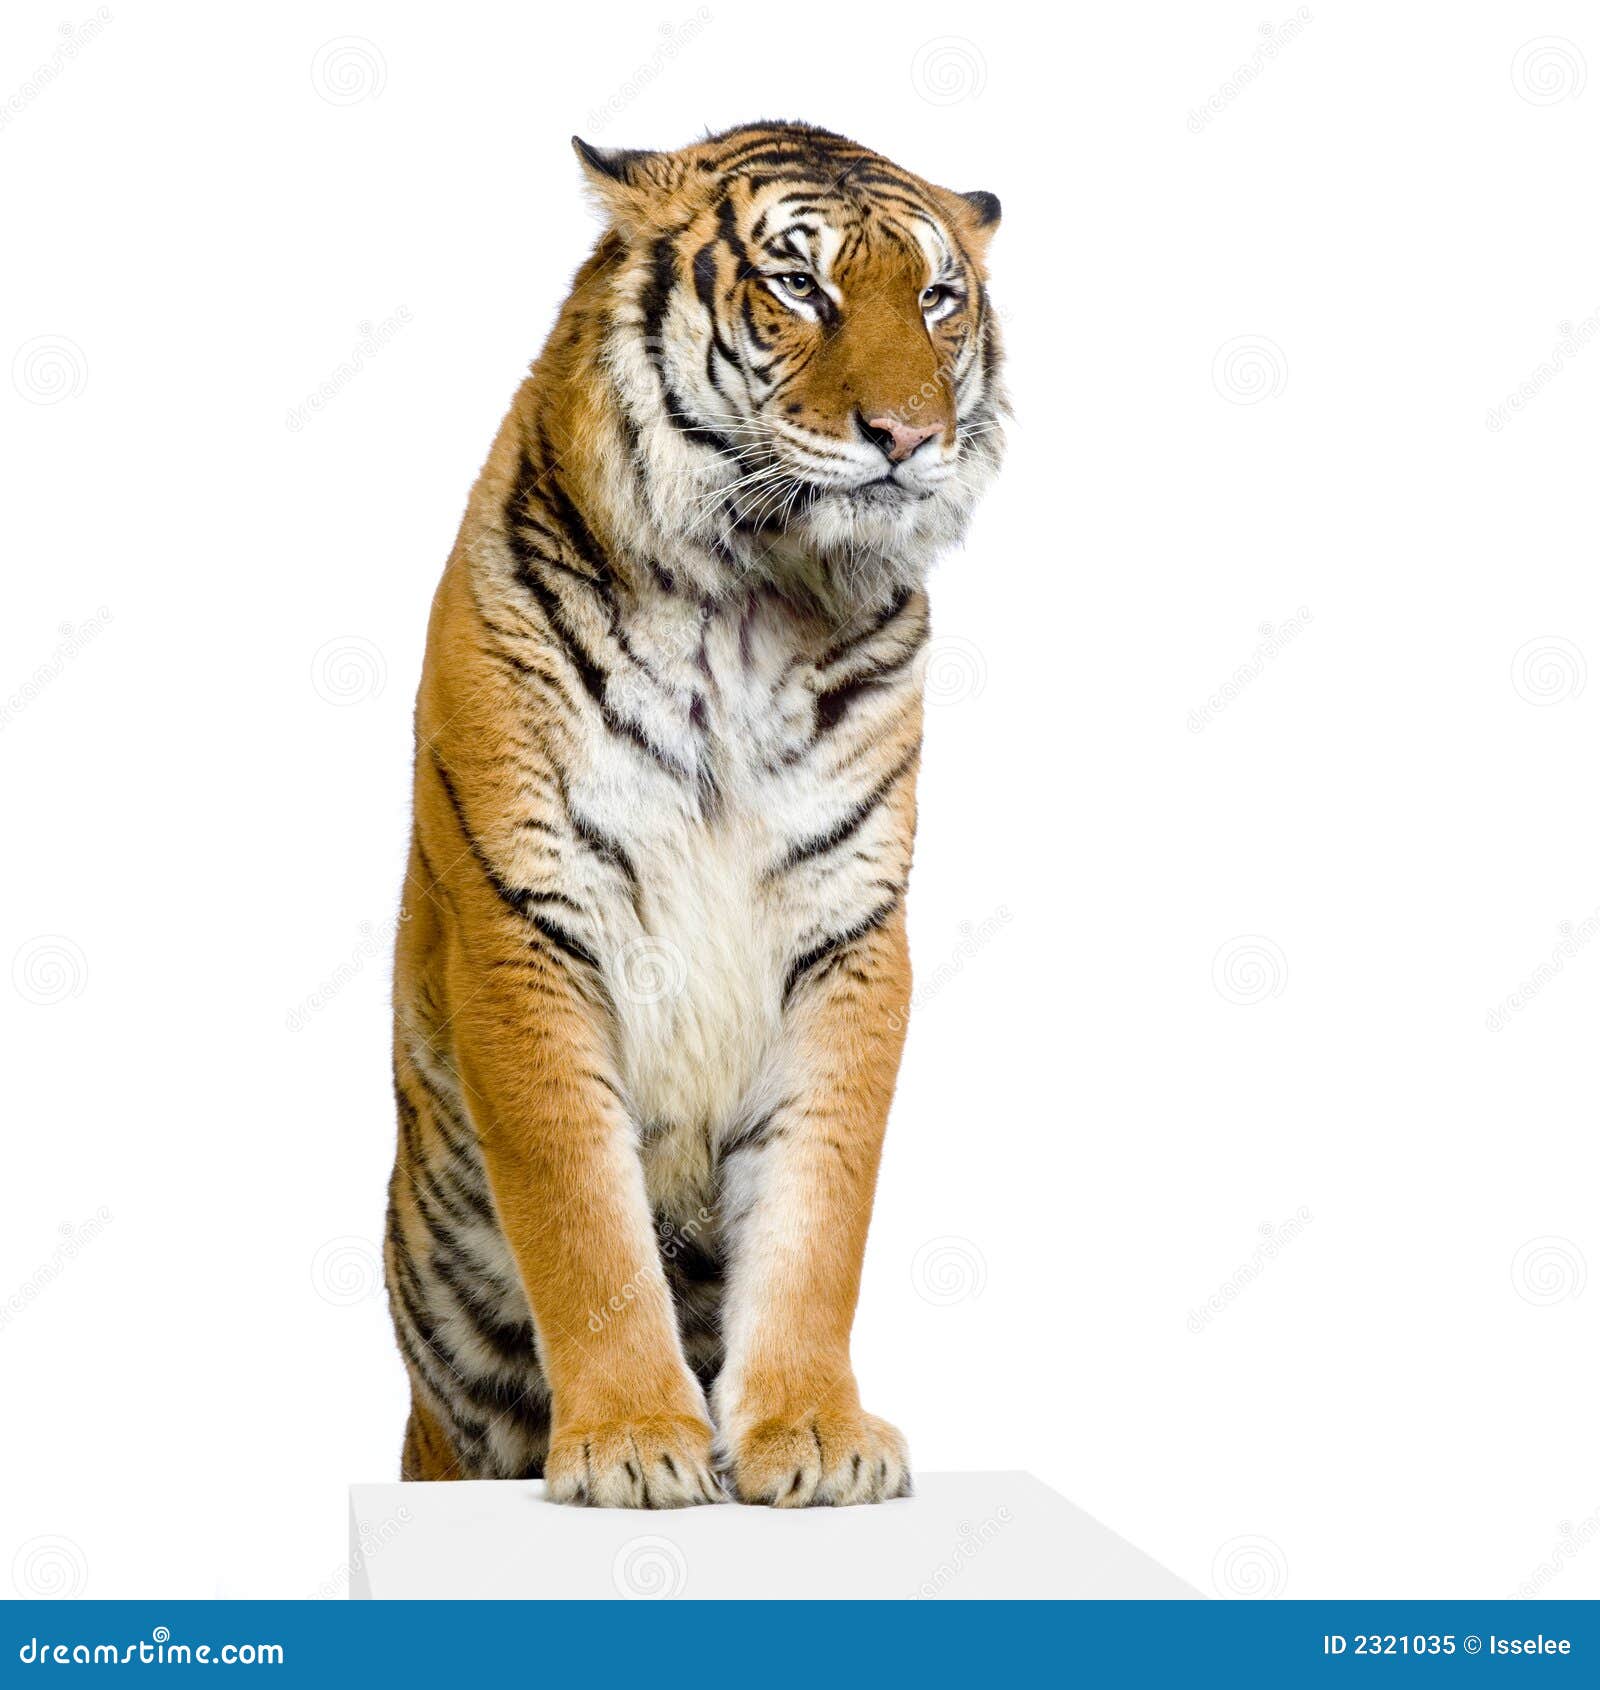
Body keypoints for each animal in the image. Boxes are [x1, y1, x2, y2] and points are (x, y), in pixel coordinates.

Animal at [384, 120, 1005, 1507]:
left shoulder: (845, 929)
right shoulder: (528, 918)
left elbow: (818, 1211)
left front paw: (812, 1431)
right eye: (799, 285)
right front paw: (630, 1438)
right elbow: (581, 1214)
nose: (907, 435)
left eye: (937, 298)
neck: (754, 597)